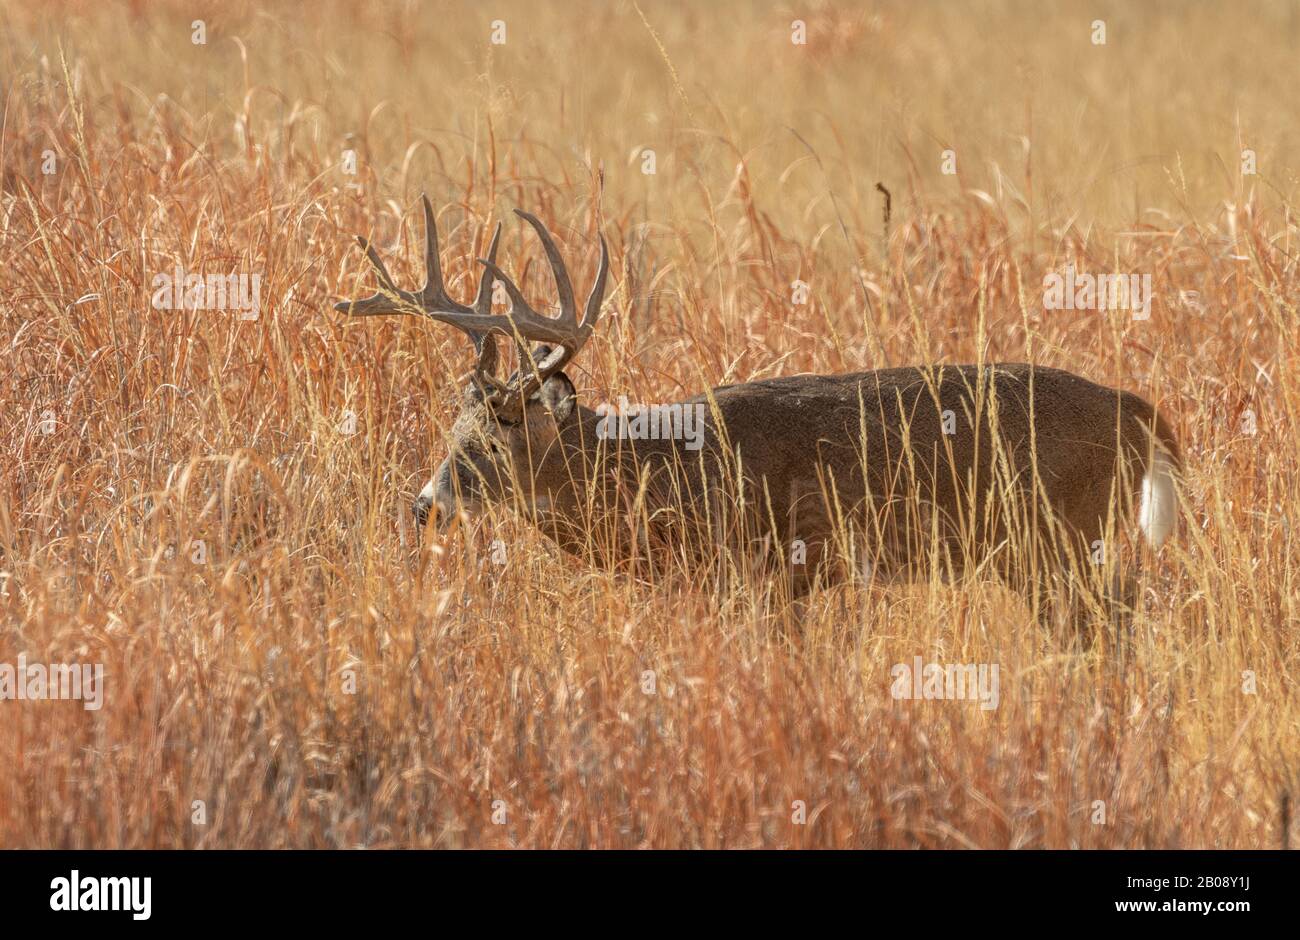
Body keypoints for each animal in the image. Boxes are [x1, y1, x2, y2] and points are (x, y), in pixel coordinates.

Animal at [334, 196, 1181, 637]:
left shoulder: (763, 572)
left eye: (496, 436)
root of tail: (1140, 411)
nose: (423, 505)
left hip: (1058, 541)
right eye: (451, 429)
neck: (660, 466)